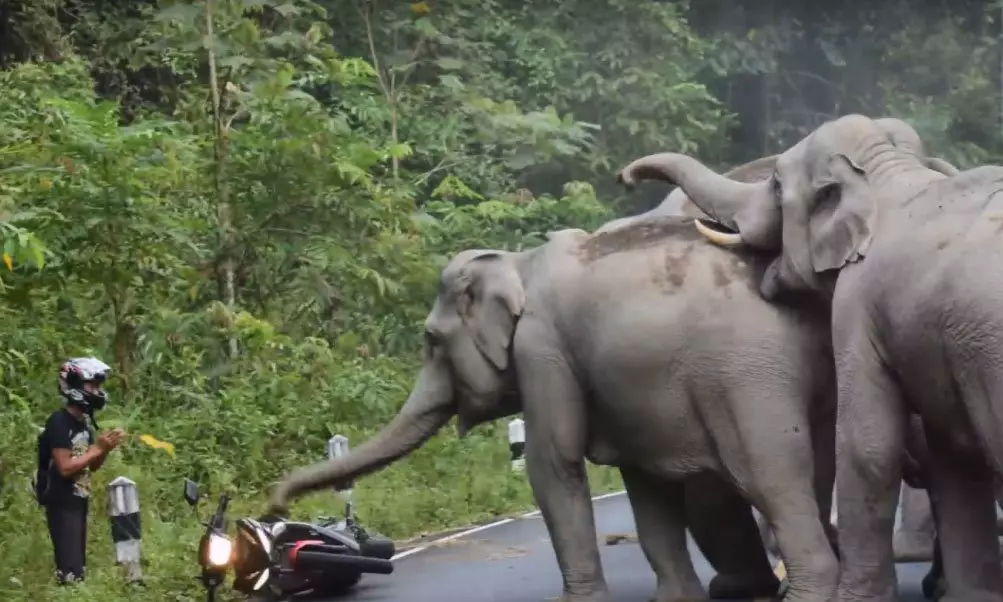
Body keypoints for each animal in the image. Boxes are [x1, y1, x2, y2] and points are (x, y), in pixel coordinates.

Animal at [262, 218, 842, 602]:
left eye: (430, 340)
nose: (274, 509)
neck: (519, 262)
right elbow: (644, 485)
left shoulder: (542, 351)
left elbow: (552, 463)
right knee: (816, 470)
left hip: (747, 378)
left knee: (770, 478)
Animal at [609, 111, 1003, 602]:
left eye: (778, 187)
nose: (623, 176)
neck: (887, 171)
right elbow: (950, 456)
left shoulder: (856, 302)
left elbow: (866, 445)